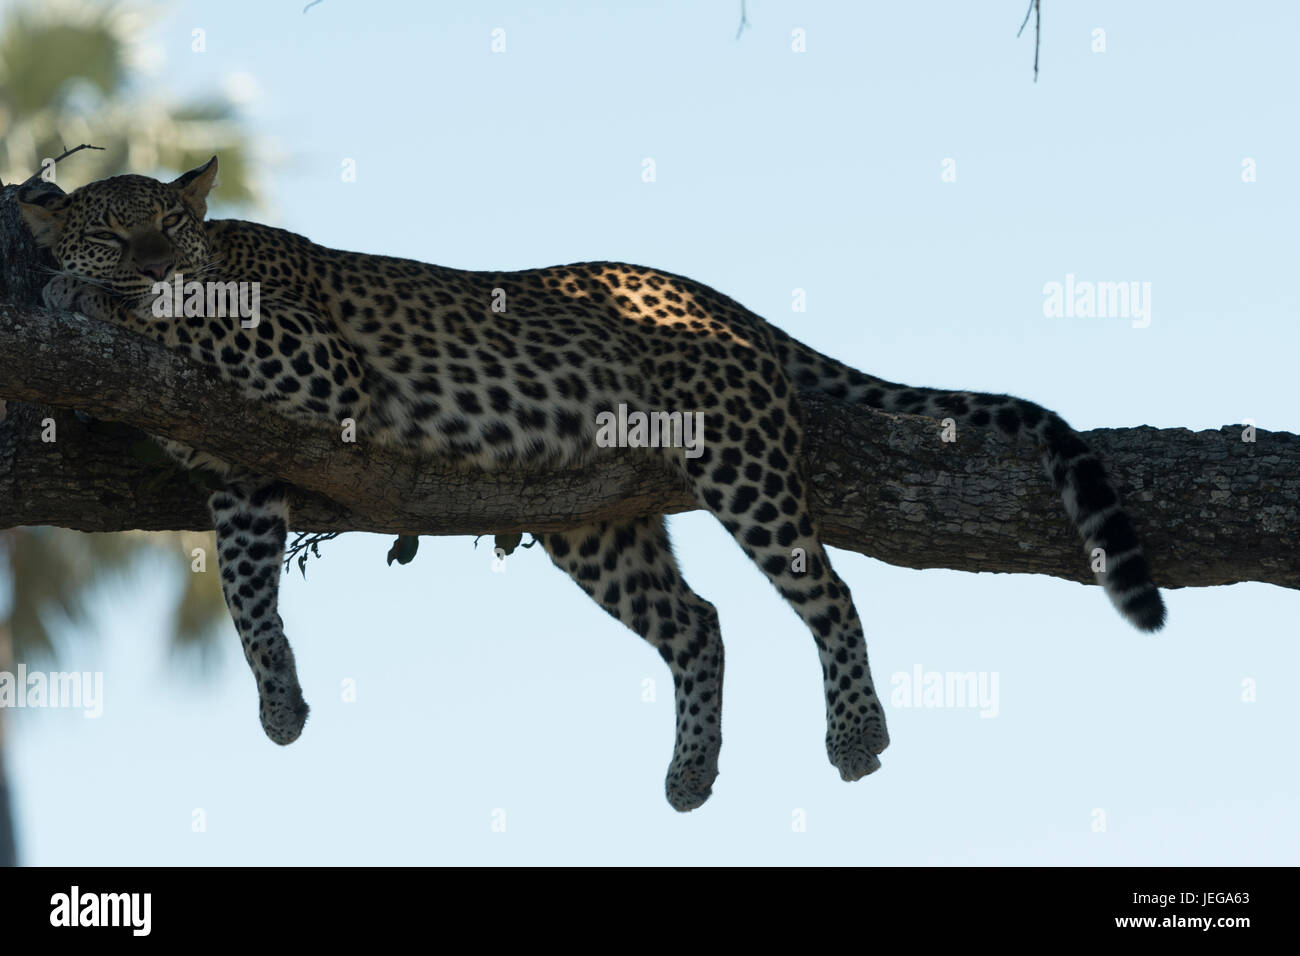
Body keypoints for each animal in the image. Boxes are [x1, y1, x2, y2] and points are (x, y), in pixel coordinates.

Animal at [16, 158, 1166, 811]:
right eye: (116, 228)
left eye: (171, 227)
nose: (149, 260)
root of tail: (704, 293)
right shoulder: (248, 475)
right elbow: (245, 592)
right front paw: (282, 697)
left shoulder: (313, 362)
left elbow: (186, 315)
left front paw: (96, 298)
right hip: (592, 521)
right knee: (697, 620)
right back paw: (691, 773)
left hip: (736, 450)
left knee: (829, 591)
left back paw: (856, 733)